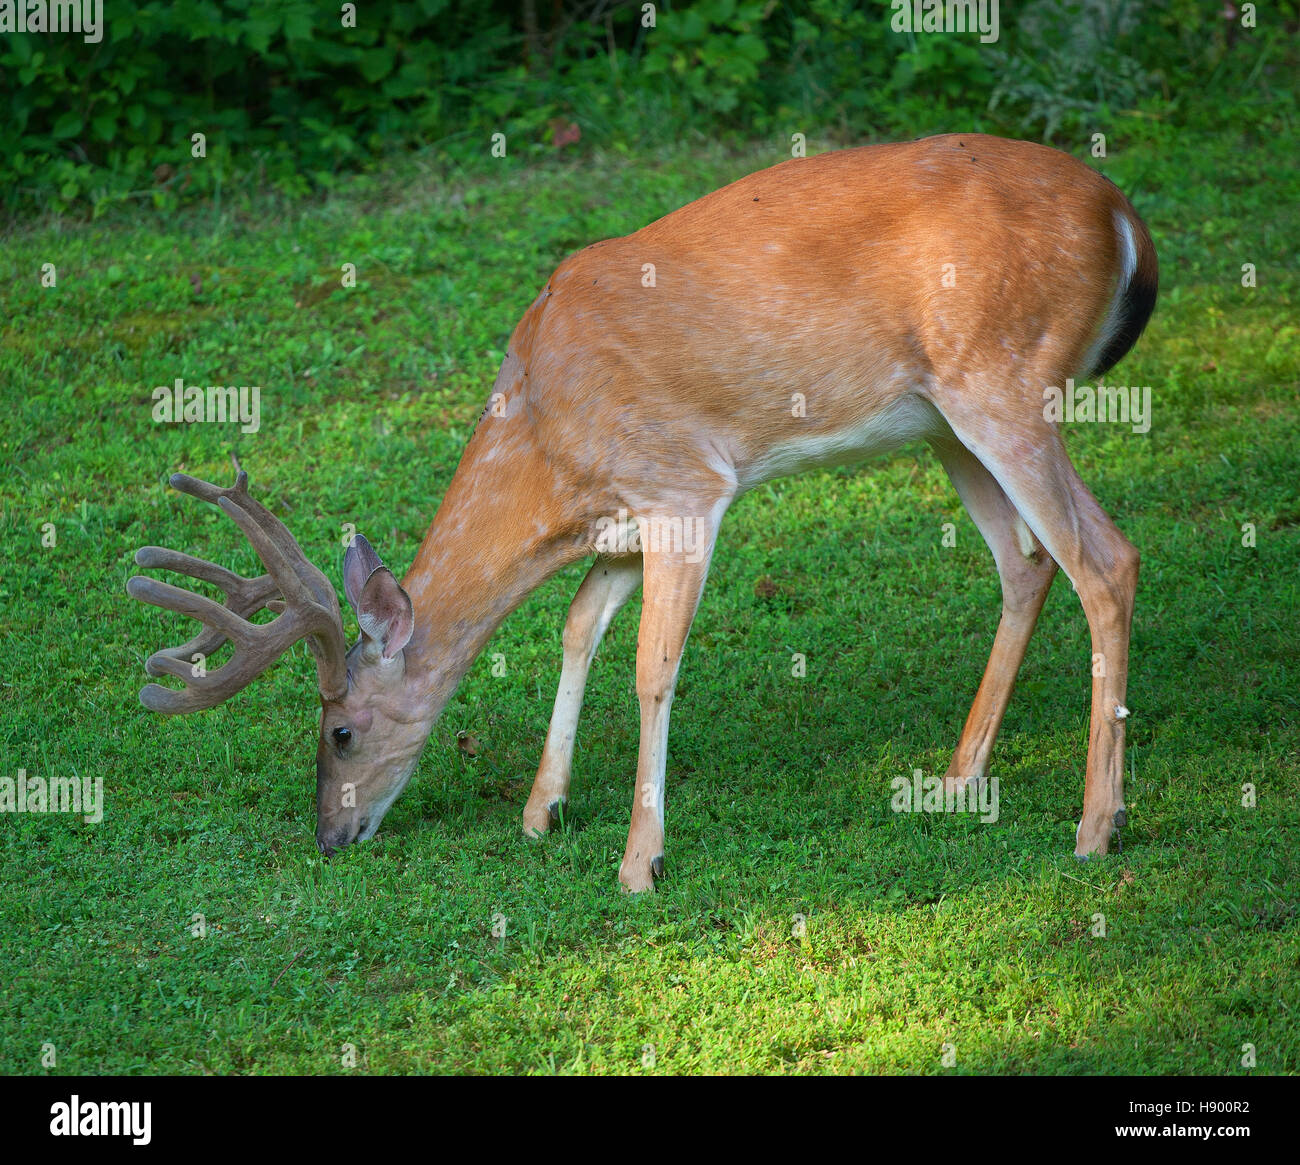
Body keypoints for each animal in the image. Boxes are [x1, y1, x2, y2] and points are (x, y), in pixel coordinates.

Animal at [128, 133, 1158, 892]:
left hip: (1005, 380)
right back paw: (956, 778)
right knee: (1027, 563)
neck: (547, 434)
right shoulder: (621, 518)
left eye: (340, 730)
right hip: (944, 420)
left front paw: (638, 860)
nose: (328, 837)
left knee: (1107, 558)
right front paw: (542, 810)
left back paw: (1095, 826)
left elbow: (653, 668)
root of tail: (1123, 213)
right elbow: (578, 625)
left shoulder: (685, 486)